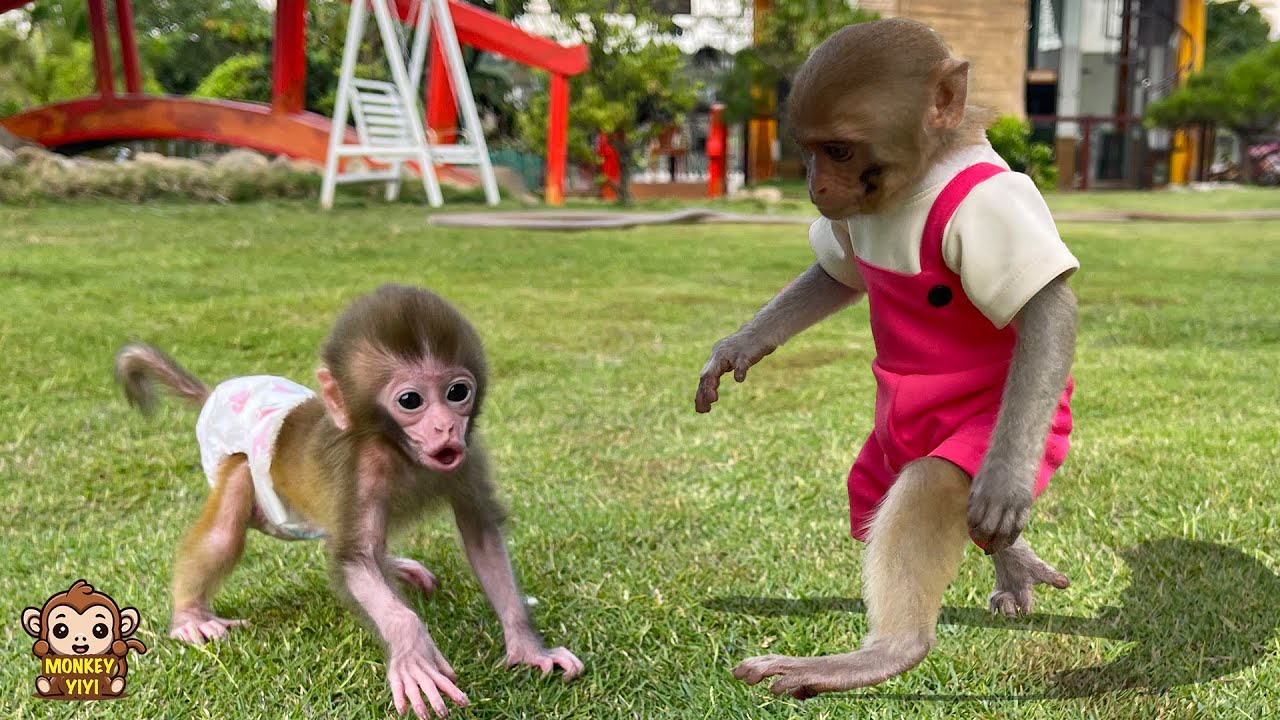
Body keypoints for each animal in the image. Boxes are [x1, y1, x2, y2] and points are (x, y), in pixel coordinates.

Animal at [115, 284, 582, 719]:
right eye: (411, 400)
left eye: (457, 392)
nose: (445, 428)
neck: (399, 452)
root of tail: (218, 394)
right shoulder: (360, 471)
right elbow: (356, 560)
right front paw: (412, 652)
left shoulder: (468, 459)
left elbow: (482, 537)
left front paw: (529, 646)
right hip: (245, 473)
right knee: (227, 529)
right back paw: (190, 616)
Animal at [695, 18, 1077, 698]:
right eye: (810, 151)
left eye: (840, 150)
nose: (816, 188)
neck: (921, 181)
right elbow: (834, 275)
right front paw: (739, 346)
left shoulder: (996, 210)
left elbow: (1045, 311)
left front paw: (1004, 486)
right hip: (876, 459)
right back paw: (1012, 563)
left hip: (1000, 430)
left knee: (932, 482)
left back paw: (889, 651)